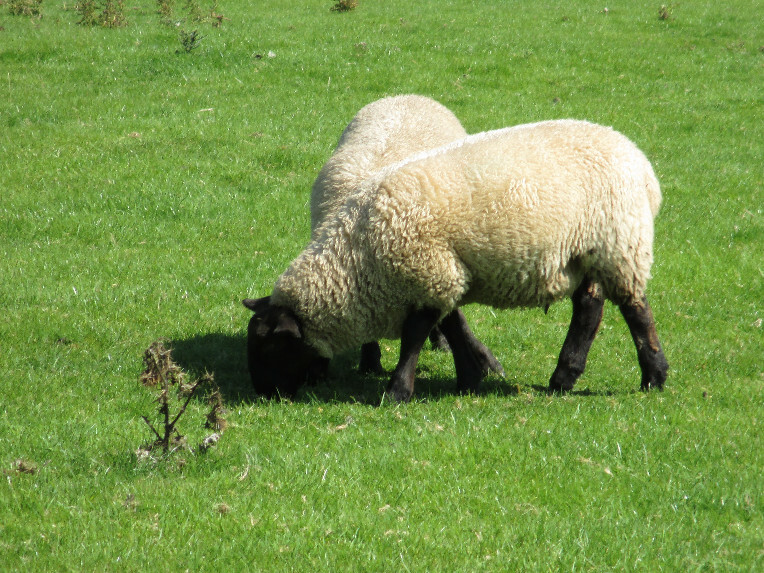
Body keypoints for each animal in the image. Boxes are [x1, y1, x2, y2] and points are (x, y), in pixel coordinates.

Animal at [244, 119, 669, 402]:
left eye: (271, 347)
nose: (262, 393)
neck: (356, 256)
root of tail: (641, 163)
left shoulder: (428, 271)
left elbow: (415, 336)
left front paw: (397, 392)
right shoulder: (441, 274)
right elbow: (449, 324)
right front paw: (470, 378)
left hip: (618, 242)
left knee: (635, 309)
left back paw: (653, 377)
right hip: (585, 253)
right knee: (589, 307)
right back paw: (563, 378)